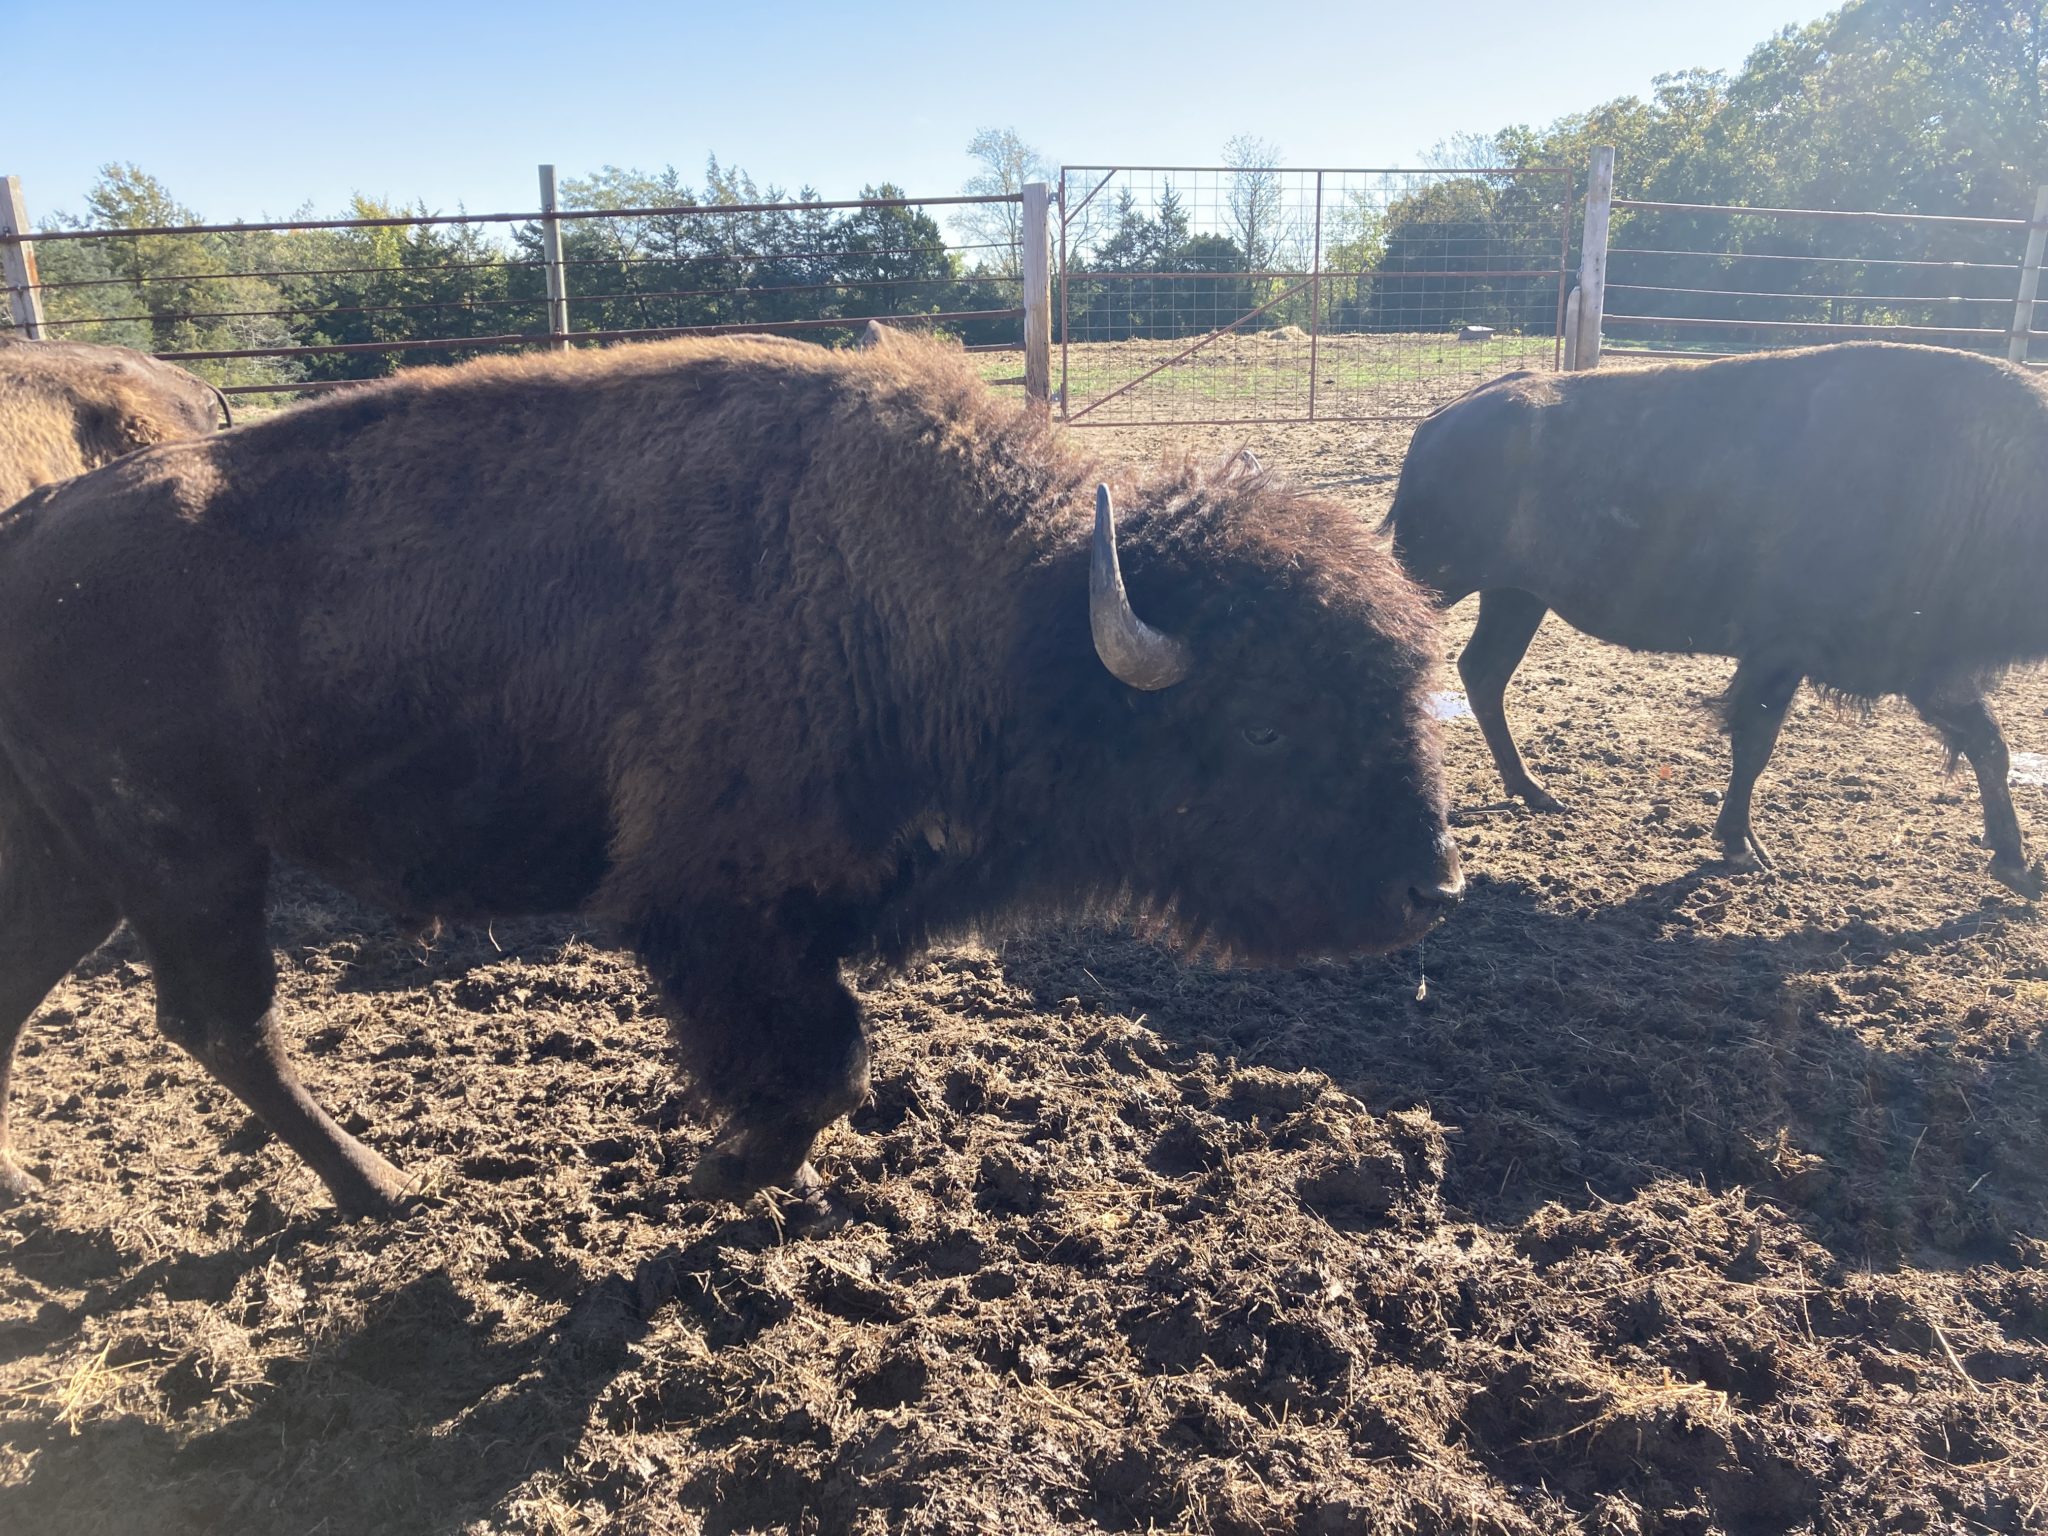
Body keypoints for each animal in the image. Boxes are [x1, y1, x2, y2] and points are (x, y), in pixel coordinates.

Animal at [1385, 342, 2048, 894]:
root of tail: (1438, 422)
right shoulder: (1784, 654)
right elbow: (1755, 741)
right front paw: (1742, 848)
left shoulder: (1930, 671)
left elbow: (1990, 745)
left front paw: (2016, 865)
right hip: (1445, 583)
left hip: (1517, 596)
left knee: (1484, 673)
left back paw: (1536, 793)